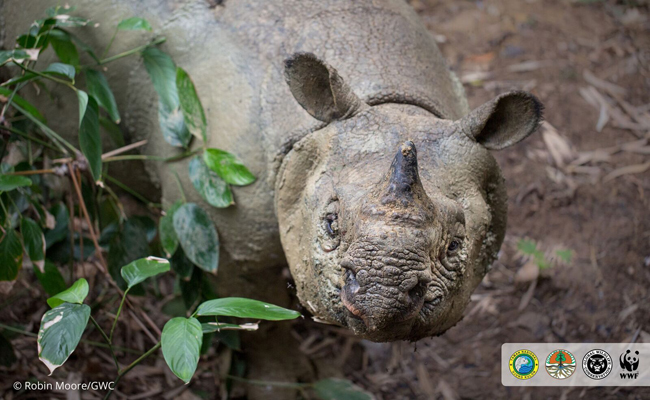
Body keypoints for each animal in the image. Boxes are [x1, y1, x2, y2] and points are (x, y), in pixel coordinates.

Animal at [3, 0, 541, 391]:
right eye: (330, 223)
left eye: (456, 245)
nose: (381, 300)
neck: (393, 101)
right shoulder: (216, 226)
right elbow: (252, 313)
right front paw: (284, 385)